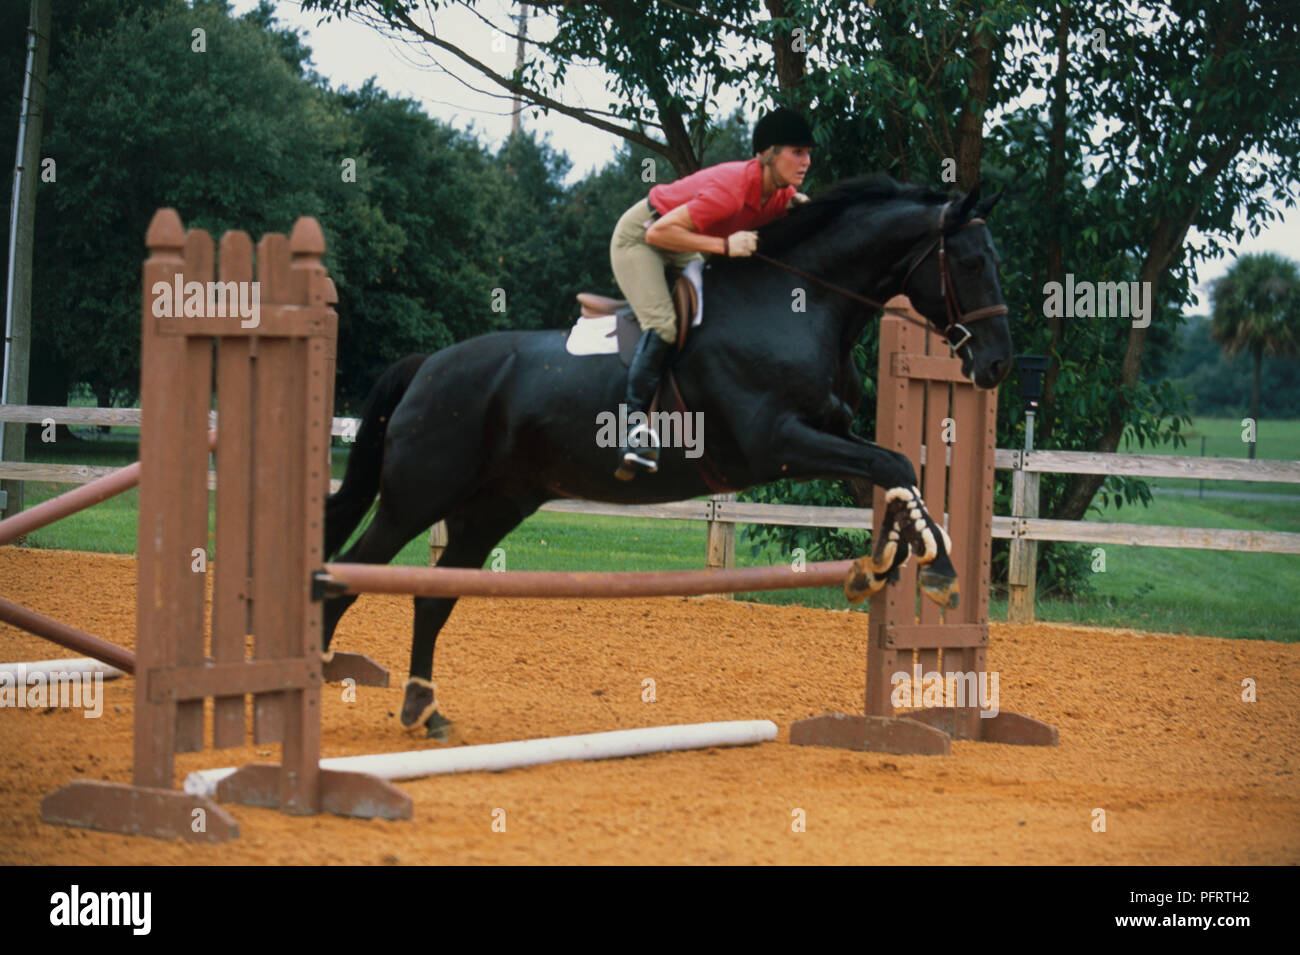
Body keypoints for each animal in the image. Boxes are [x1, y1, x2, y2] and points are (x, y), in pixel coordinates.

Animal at [322, 174, 1012, 735]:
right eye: (970, 261)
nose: (995, 365)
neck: (797, 304)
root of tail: (427, 365)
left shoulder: (830, 436)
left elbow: (894, 471)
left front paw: (890, 562)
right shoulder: (778, 442)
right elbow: (894, 467)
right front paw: (937, 571)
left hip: (491, 508)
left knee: (432, 596)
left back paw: (424, 710)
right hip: (416, 498)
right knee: (348, 576)